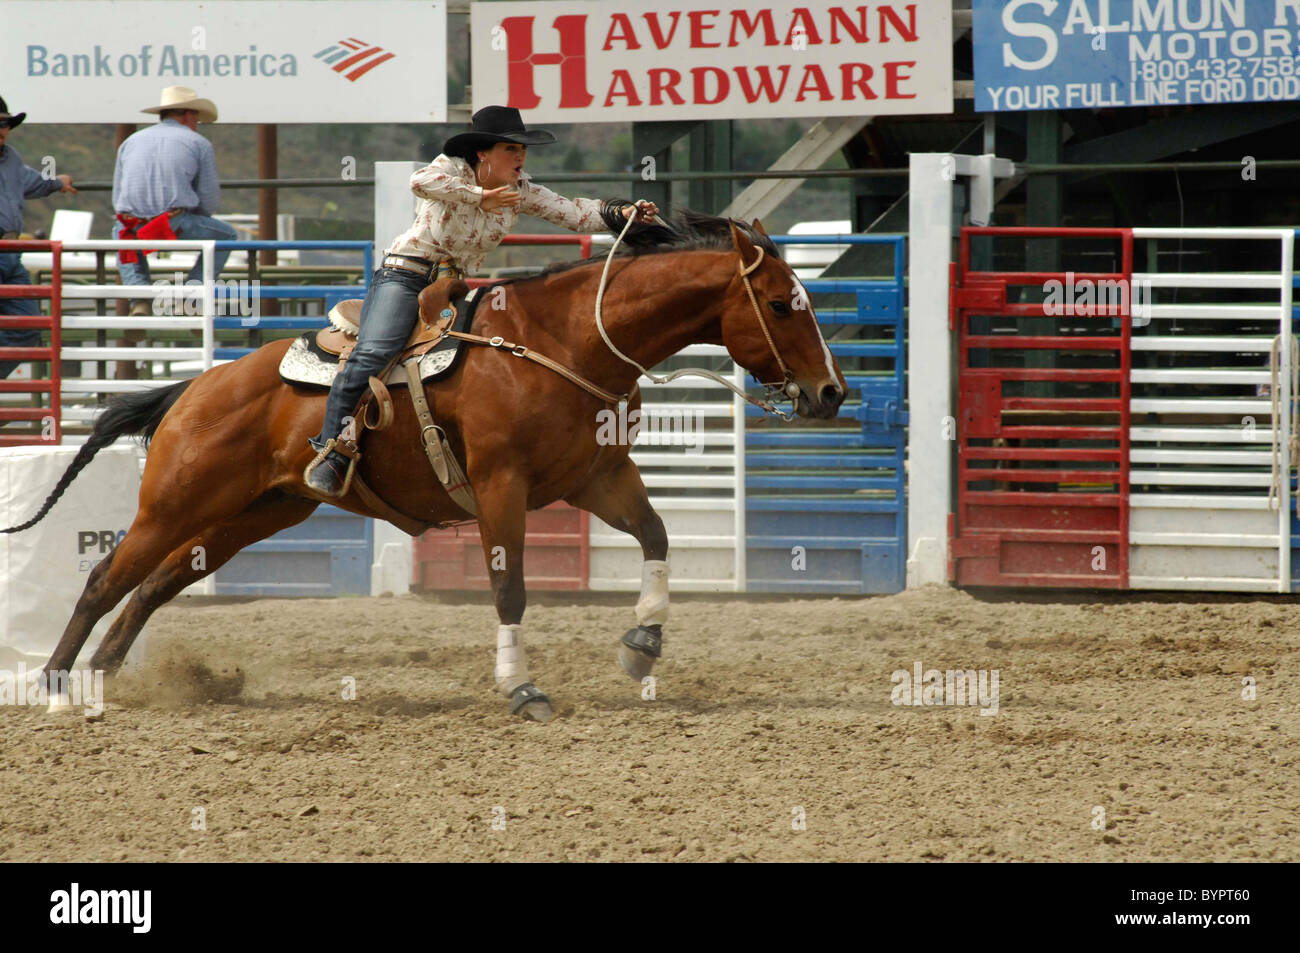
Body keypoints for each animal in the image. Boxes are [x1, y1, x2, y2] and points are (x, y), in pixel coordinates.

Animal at [5, 206, 847, 721]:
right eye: (781, 305)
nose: (831, 392)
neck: (563, 340)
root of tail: (194, 387)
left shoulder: (598, 477)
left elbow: (658, 538)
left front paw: (642, 646)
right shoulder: (502, 485)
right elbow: (510, 588)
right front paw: (521, 687)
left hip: (255, 512)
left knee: (153, 584)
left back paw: (103, 681)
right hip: (174, 502)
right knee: (103, 578)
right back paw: (56, 687)